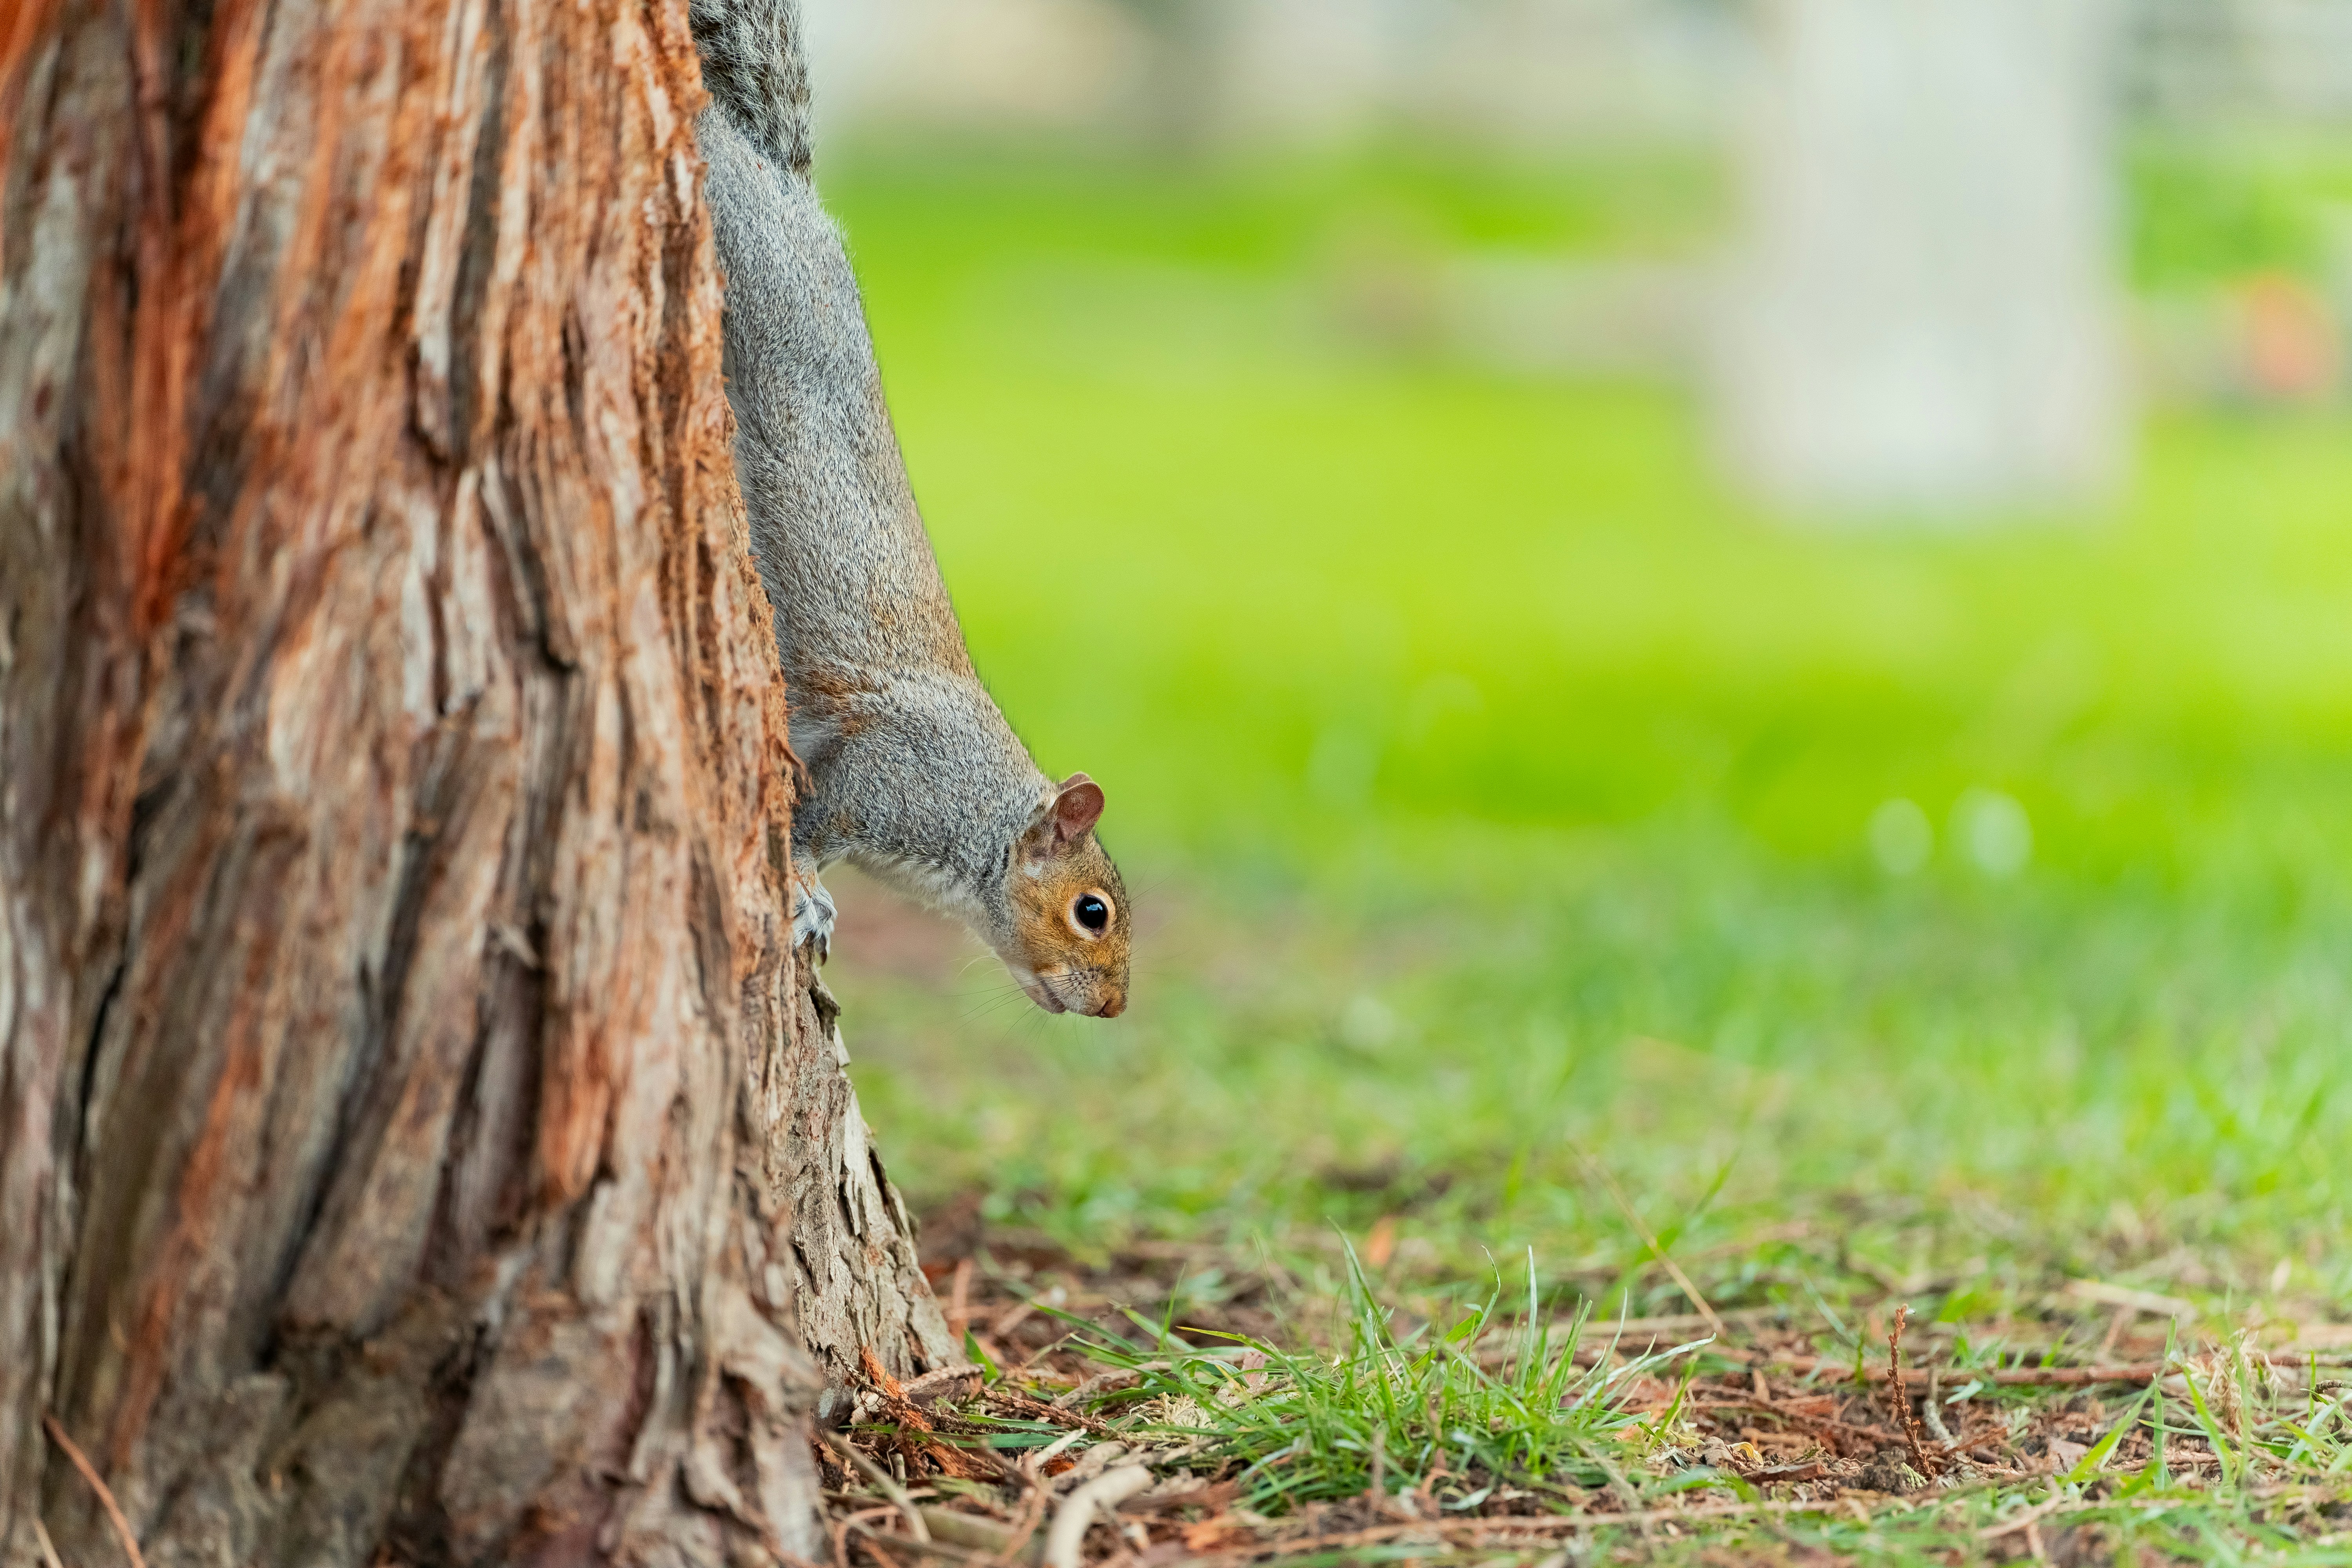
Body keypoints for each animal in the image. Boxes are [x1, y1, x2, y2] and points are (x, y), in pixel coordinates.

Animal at [690, 0, 1130, 1017]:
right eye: (1091, 912)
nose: (1115, 1005)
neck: (979, 819)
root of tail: (789, 190)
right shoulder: (884, 777)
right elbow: (805, 826)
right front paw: (808, 895)